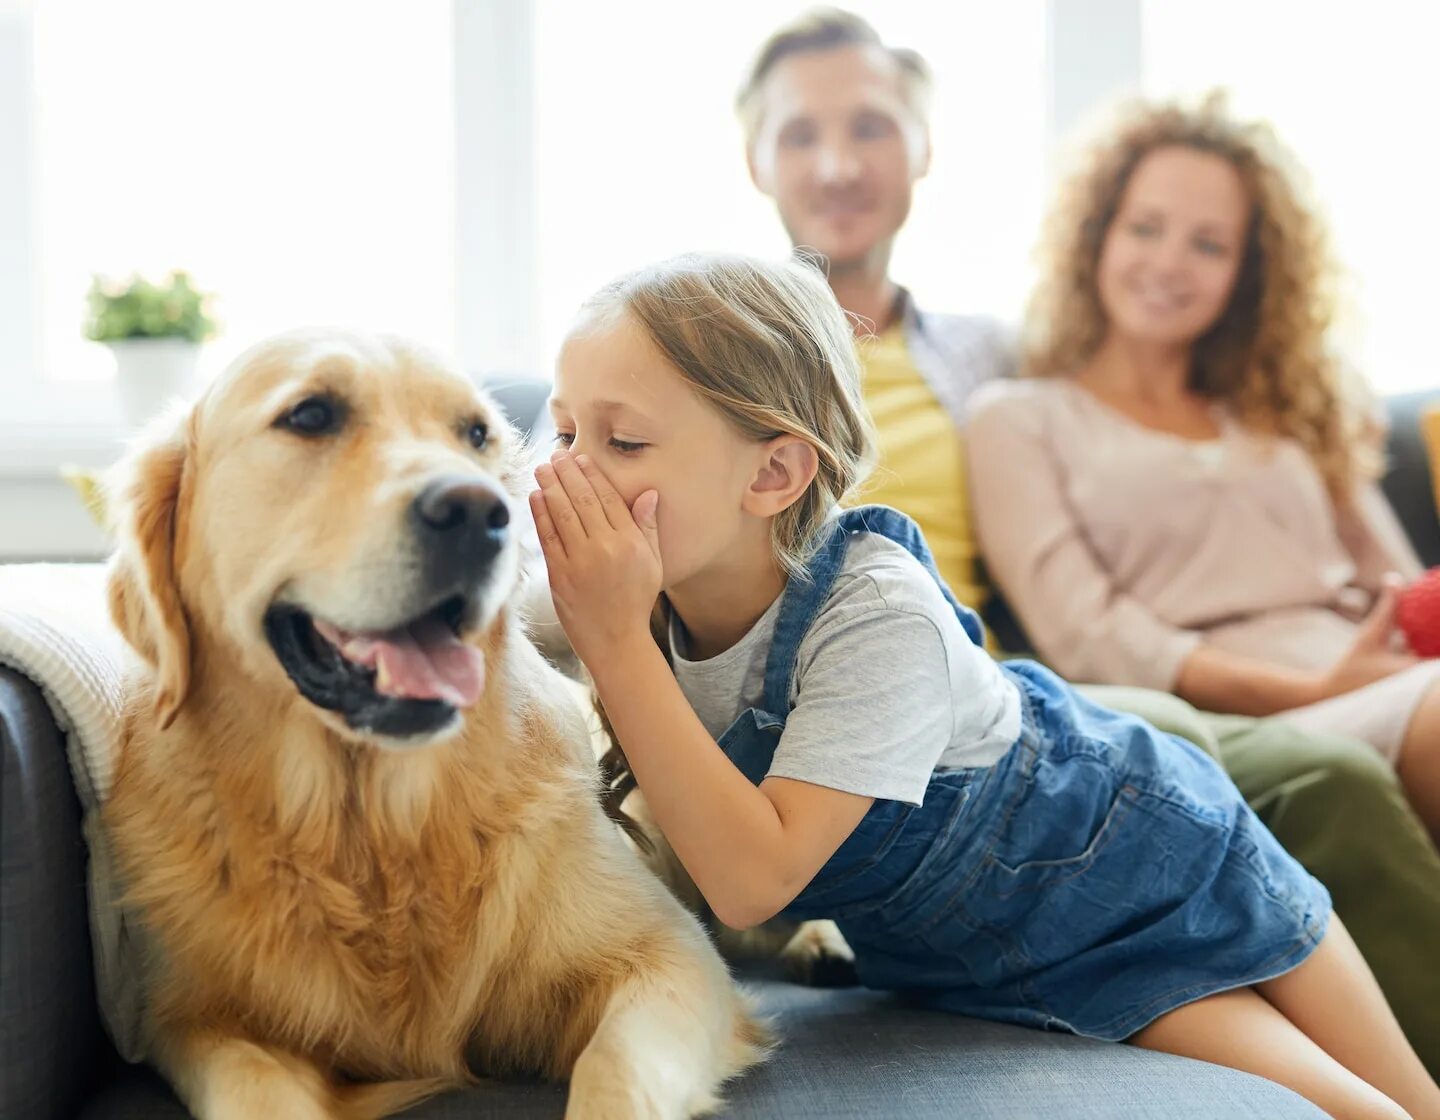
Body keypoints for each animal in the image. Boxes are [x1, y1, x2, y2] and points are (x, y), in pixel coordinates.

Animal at [104, 326, 766, 1111]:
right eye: (310, 415)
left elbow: (615, 1067)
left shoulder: (670, 956)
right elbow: (254, 1092)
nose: (480, 514)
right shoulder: (196, 1018)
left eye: (475, 434)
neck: (375, 833)